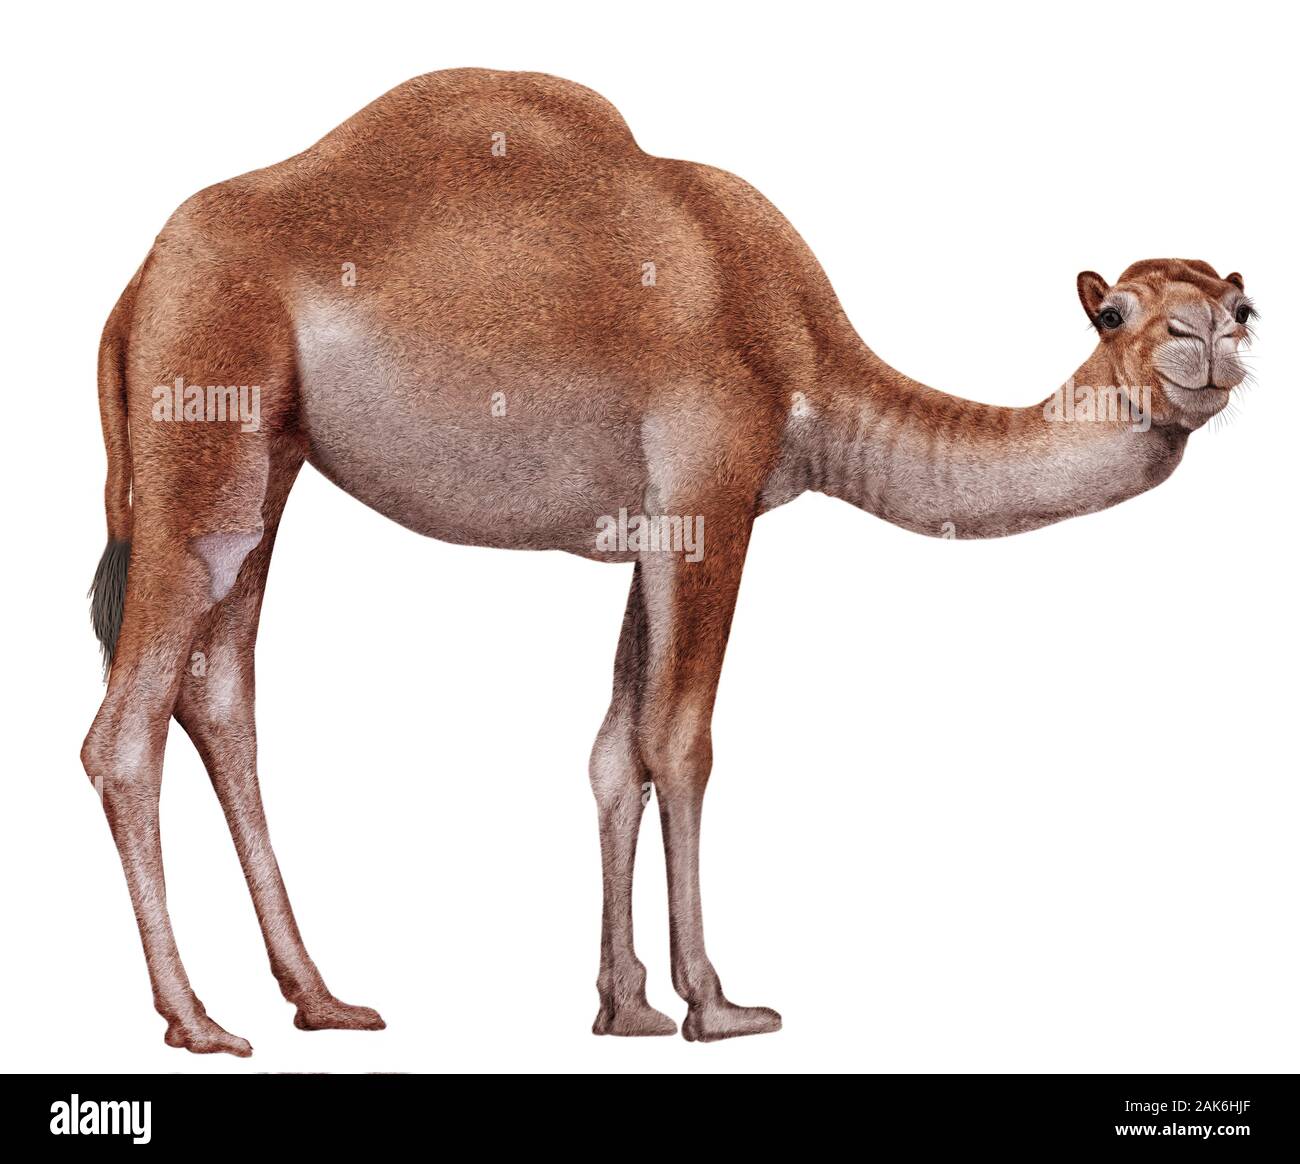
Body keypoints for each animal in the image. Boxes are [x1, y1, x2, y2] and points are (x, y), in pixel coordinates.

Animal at [83, 68, 1253, 1055]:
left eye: (1242, 306)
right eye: (1114, 312)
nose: (1203, 341)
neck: (803, 352)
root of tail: (137, 288)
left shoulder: (649, 526)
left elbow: (614, 749)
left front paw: (625, 1003)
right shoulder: (710, 490)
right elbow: (679, 742)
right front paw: (714, 1004)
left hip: (263, 463)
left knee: (221, 695)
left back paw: (319, 998)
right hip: (206, 406)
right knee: (125, 729)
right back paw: (195, 1019)